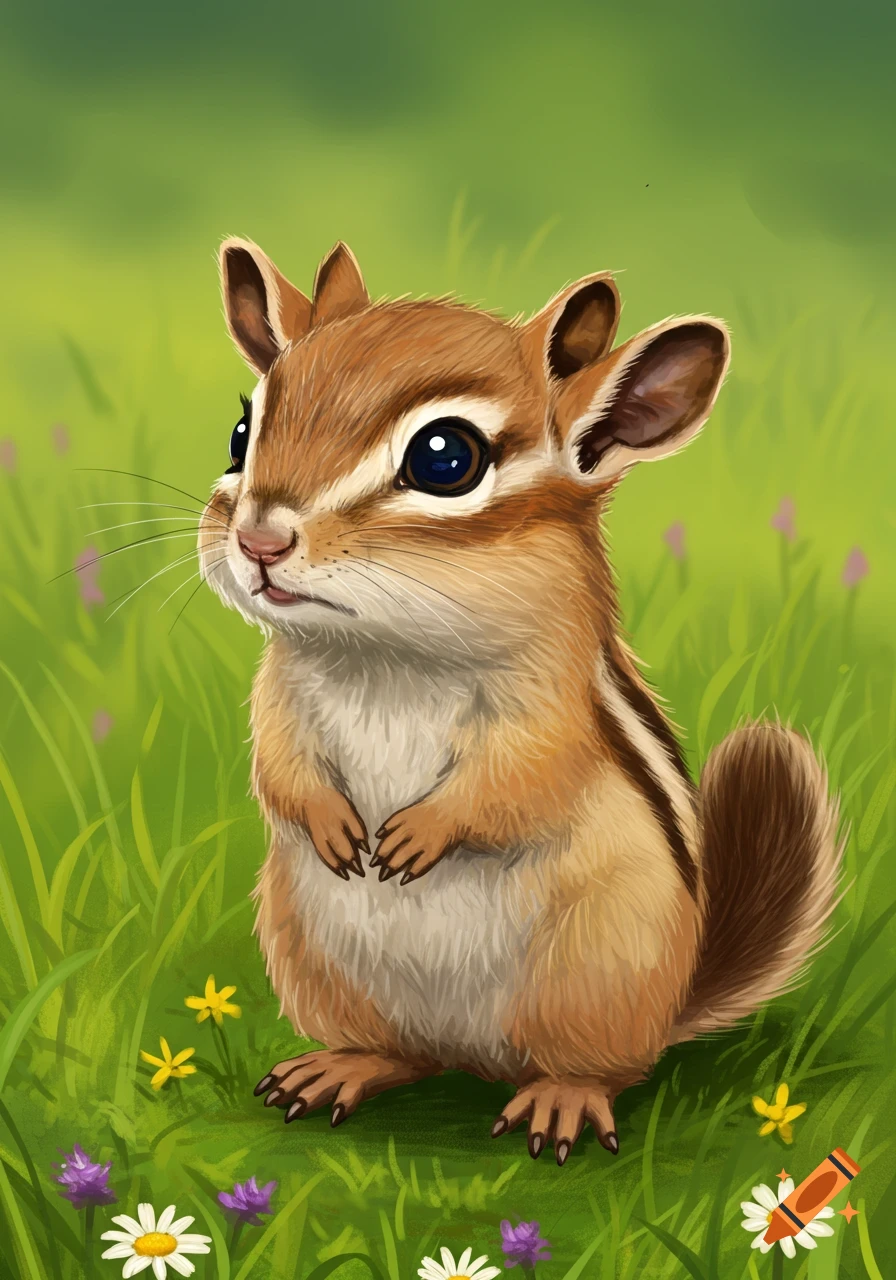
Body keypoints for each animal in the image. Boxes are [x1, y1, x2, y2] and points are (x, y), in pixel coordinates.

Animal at [198, 236, 841, 1165]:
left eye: (444, 458)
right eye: (242, 431)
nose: (259, 539)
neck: (384, 656)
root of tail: (475, 1059)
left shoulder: (551, 710)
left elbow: (516, 780)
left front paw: (417, 836)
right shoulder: (278, 697)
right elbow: (280, 770)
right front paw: (332, 825)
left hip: (593, 970)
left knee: (596, 1069)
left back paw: (560, 1099)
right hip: (310, 955)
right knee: (399, 1052)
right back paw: (340, 1068)